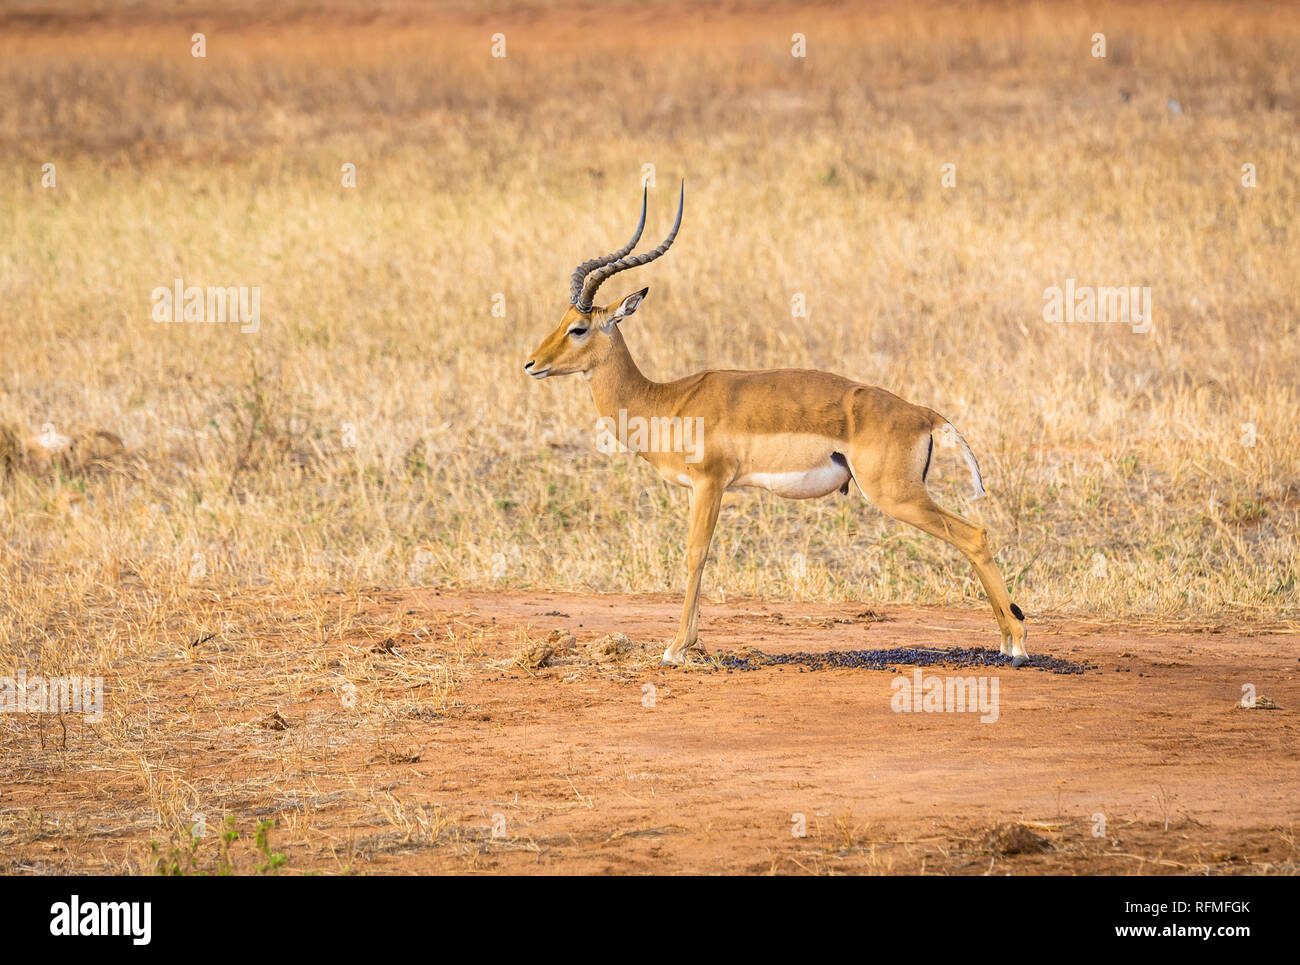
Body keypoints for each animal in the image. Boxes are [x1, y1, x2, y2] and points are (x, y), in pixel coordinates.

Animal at [525, 184, 1029, 667]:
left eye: (578, 329)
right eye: (561, 319)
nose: (531, 364)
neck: (667, 402)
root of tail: (925, 414)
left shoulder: (711, 483)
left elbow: (695, 554)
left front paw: (675, 648)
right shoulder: (697, 489)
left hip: (896, 495)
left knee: (974, 535)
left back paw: (1017, 643)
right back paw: (1007, 640)